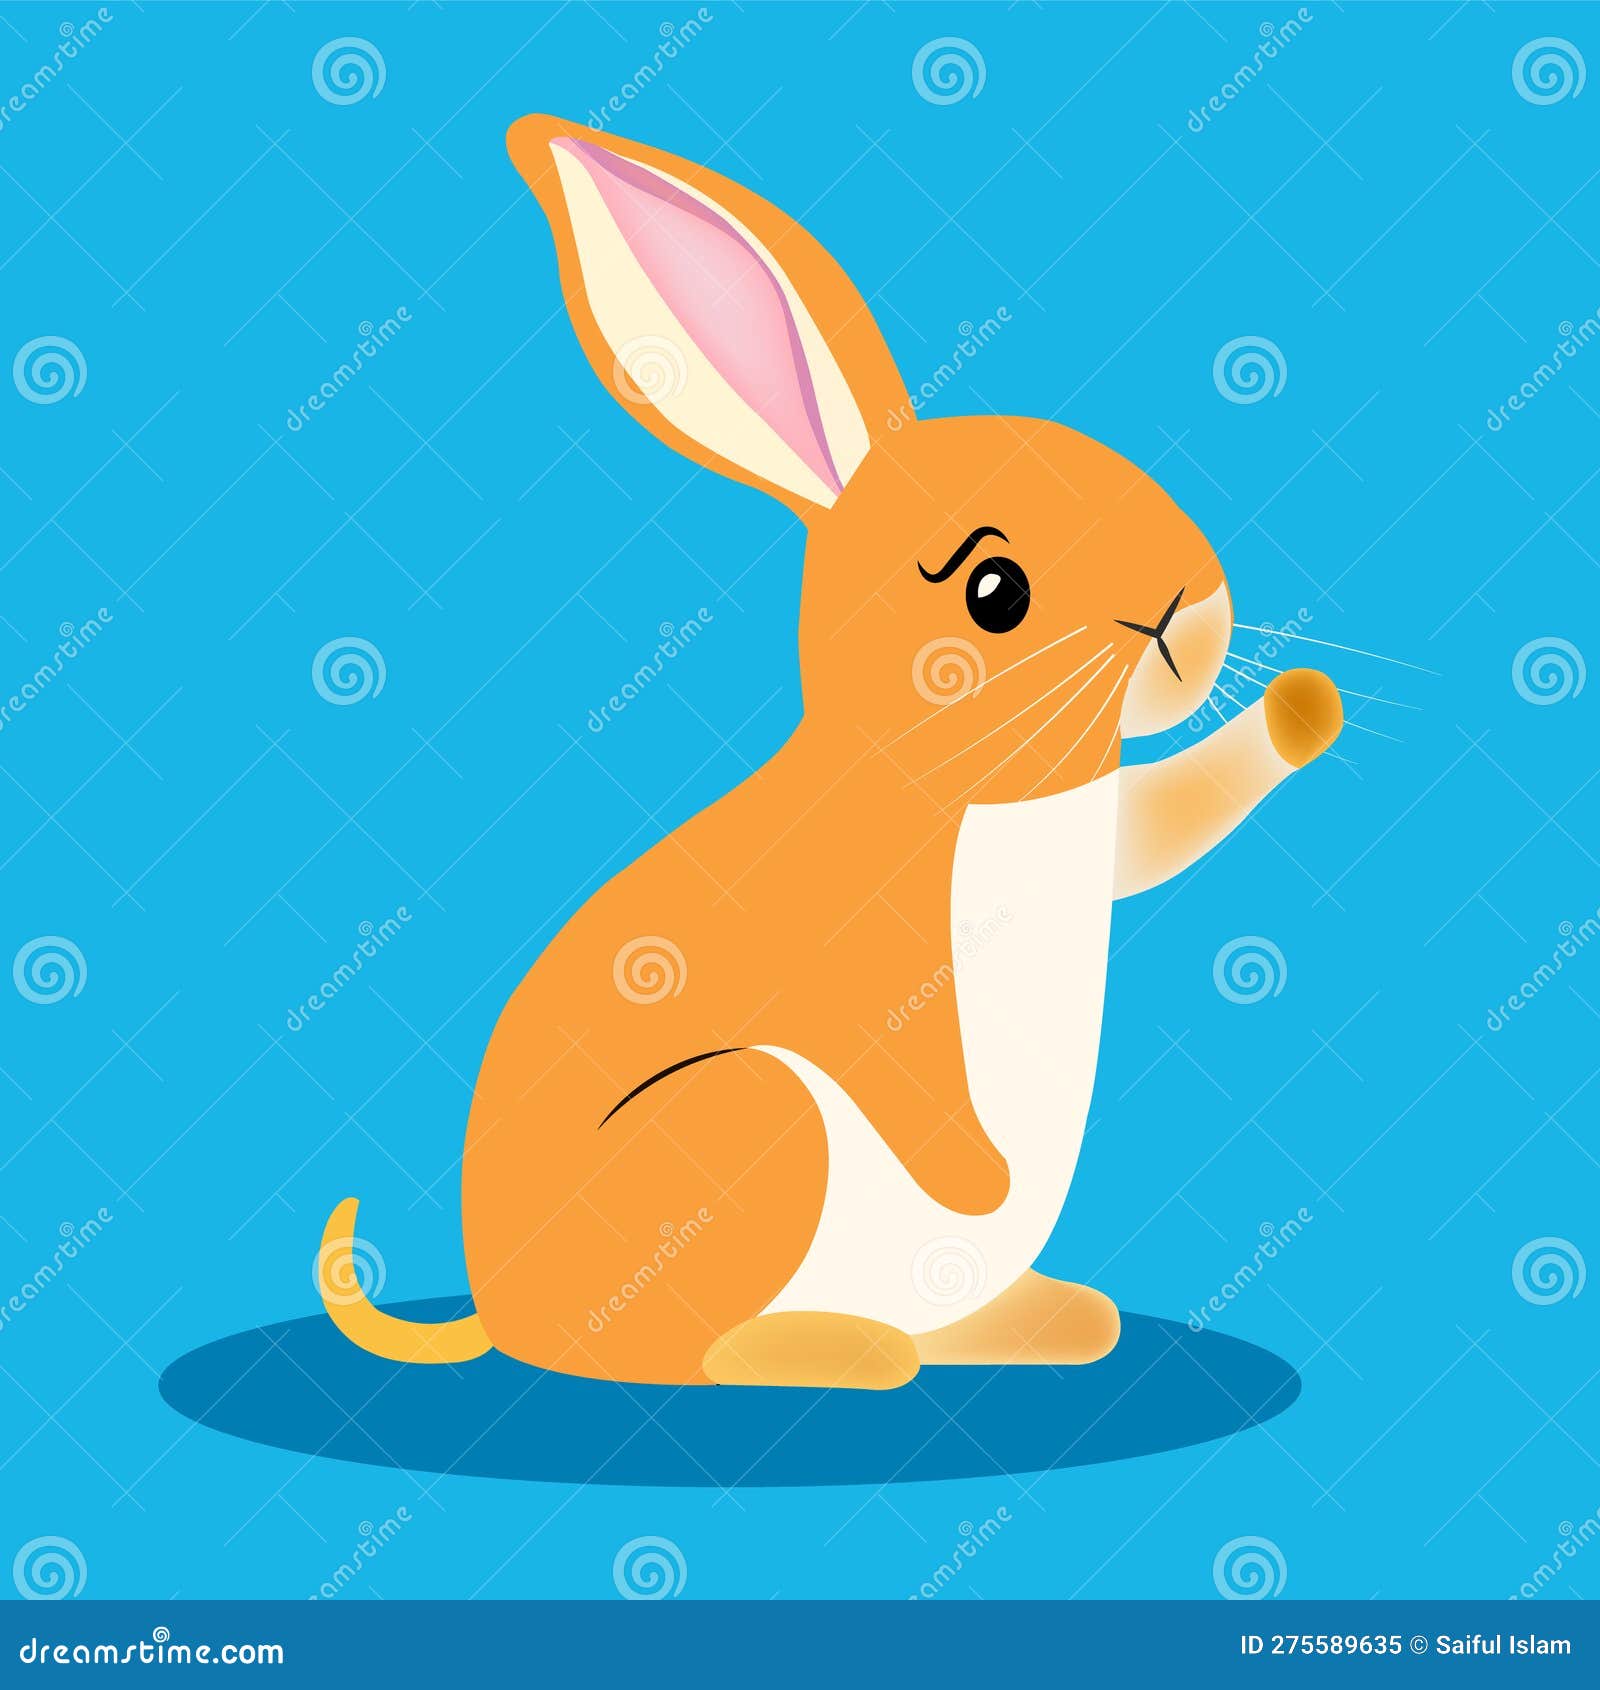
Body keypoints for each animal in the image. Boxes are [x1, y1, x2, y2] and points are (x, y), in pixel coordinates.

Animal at [317, 114, 1343, 1389]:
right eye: (993, 591)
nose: (1185, 611)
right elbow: (911, 1075)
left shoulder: (1101, 820)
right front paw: (980, 1176)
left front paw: (1303, 712)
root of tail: (498, 1313)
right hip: (756, 1119)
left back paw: (1035, 1324)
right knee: (678, 1349)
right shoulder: (874, 957)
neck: (953, 782)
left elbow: (1175, 815)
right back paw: (833, 1349)